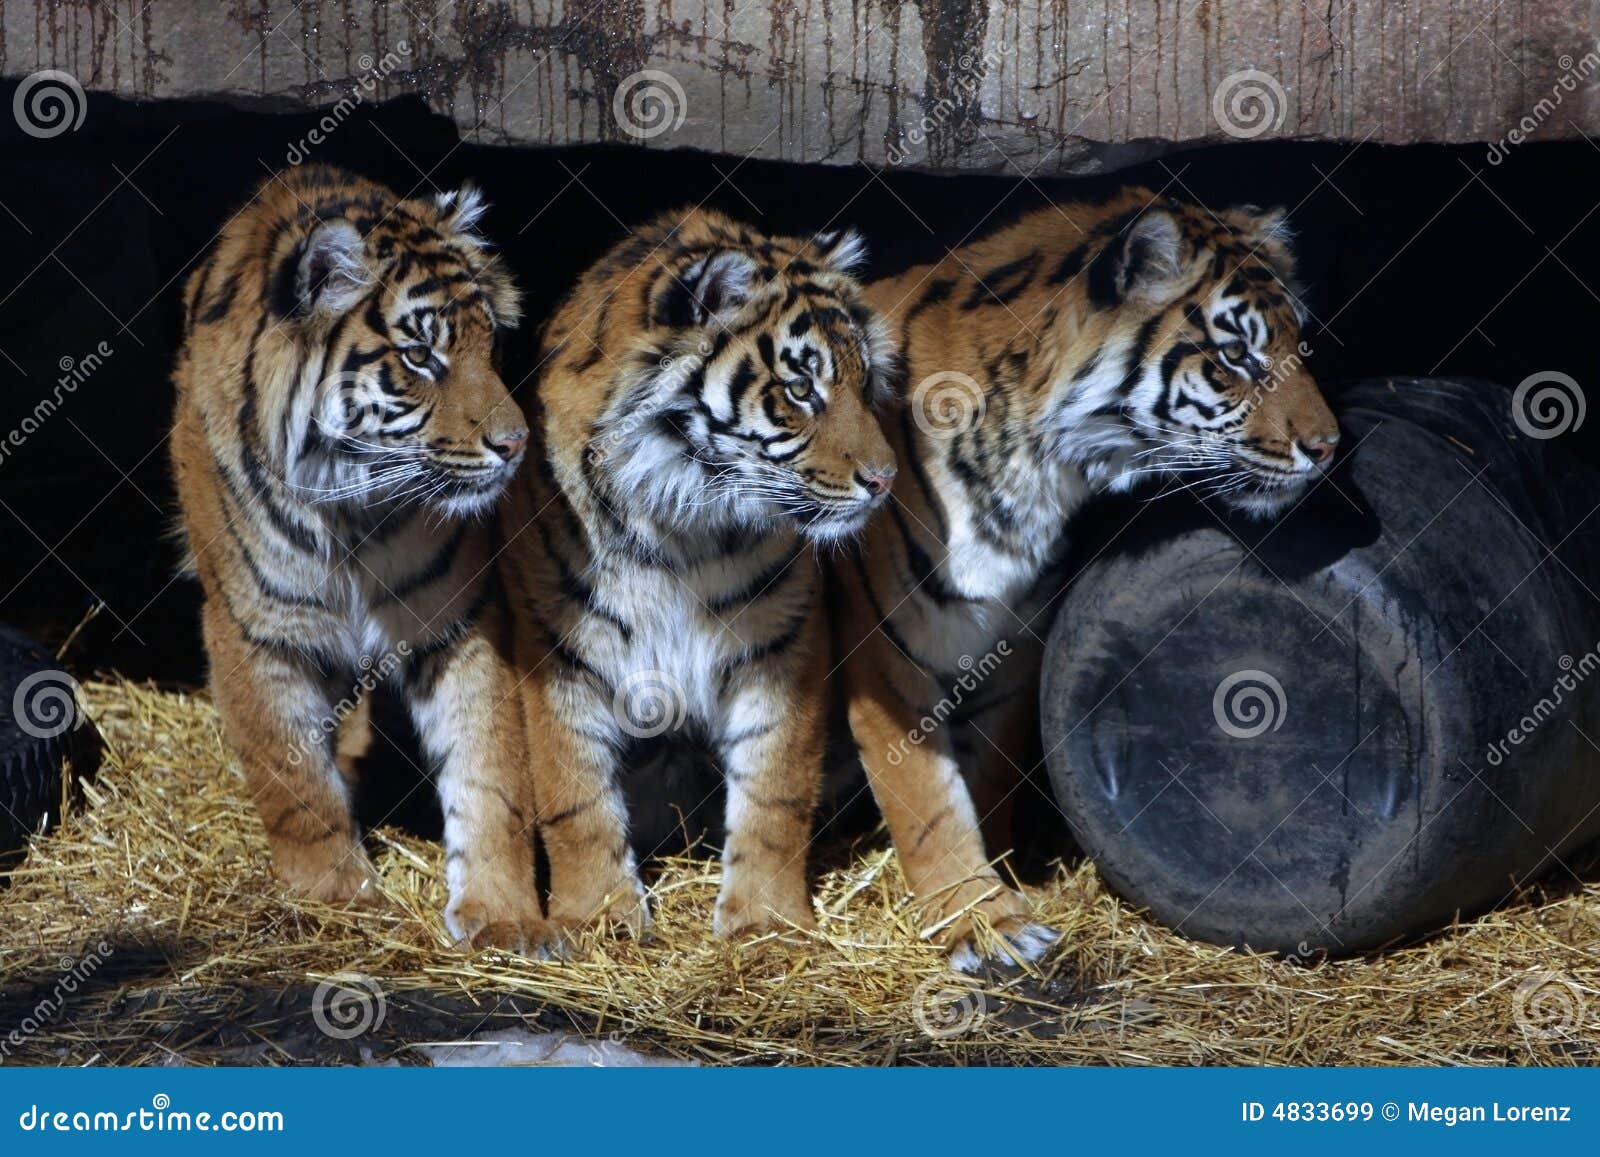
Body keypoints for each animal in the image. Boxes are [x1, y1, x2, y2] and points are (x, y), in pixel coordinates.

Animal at [169, 164, 548, 952]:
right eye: (420, 357)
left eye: (489, 344)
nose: (516, 444)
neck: (352, 507)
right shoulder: (253, 627)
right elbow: (291, 779)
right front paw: (337, 897)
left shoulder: (459, 618)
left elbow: (490, 766)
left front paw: (502, 913)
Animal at [499, 206, 898, 942]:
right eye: (801, 389)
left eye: (863, 382)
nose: (884, 482)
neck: (681, 529)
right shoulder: (557, 646)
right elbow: (574, 791)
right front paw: (598, 915)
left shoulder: (782, 642)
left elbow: (774, 787)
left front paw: (764, 921)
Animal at [839, 188, 1340, 970]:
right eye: (1236, 357)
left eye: (1299, 346)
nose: (1328, 447)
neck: (1037, 471)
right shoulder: (889, 654)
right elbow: (926, 800)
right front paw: (982, 921)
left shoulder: (1013, 645)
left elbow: (987, 771)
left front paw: (1003, 874)